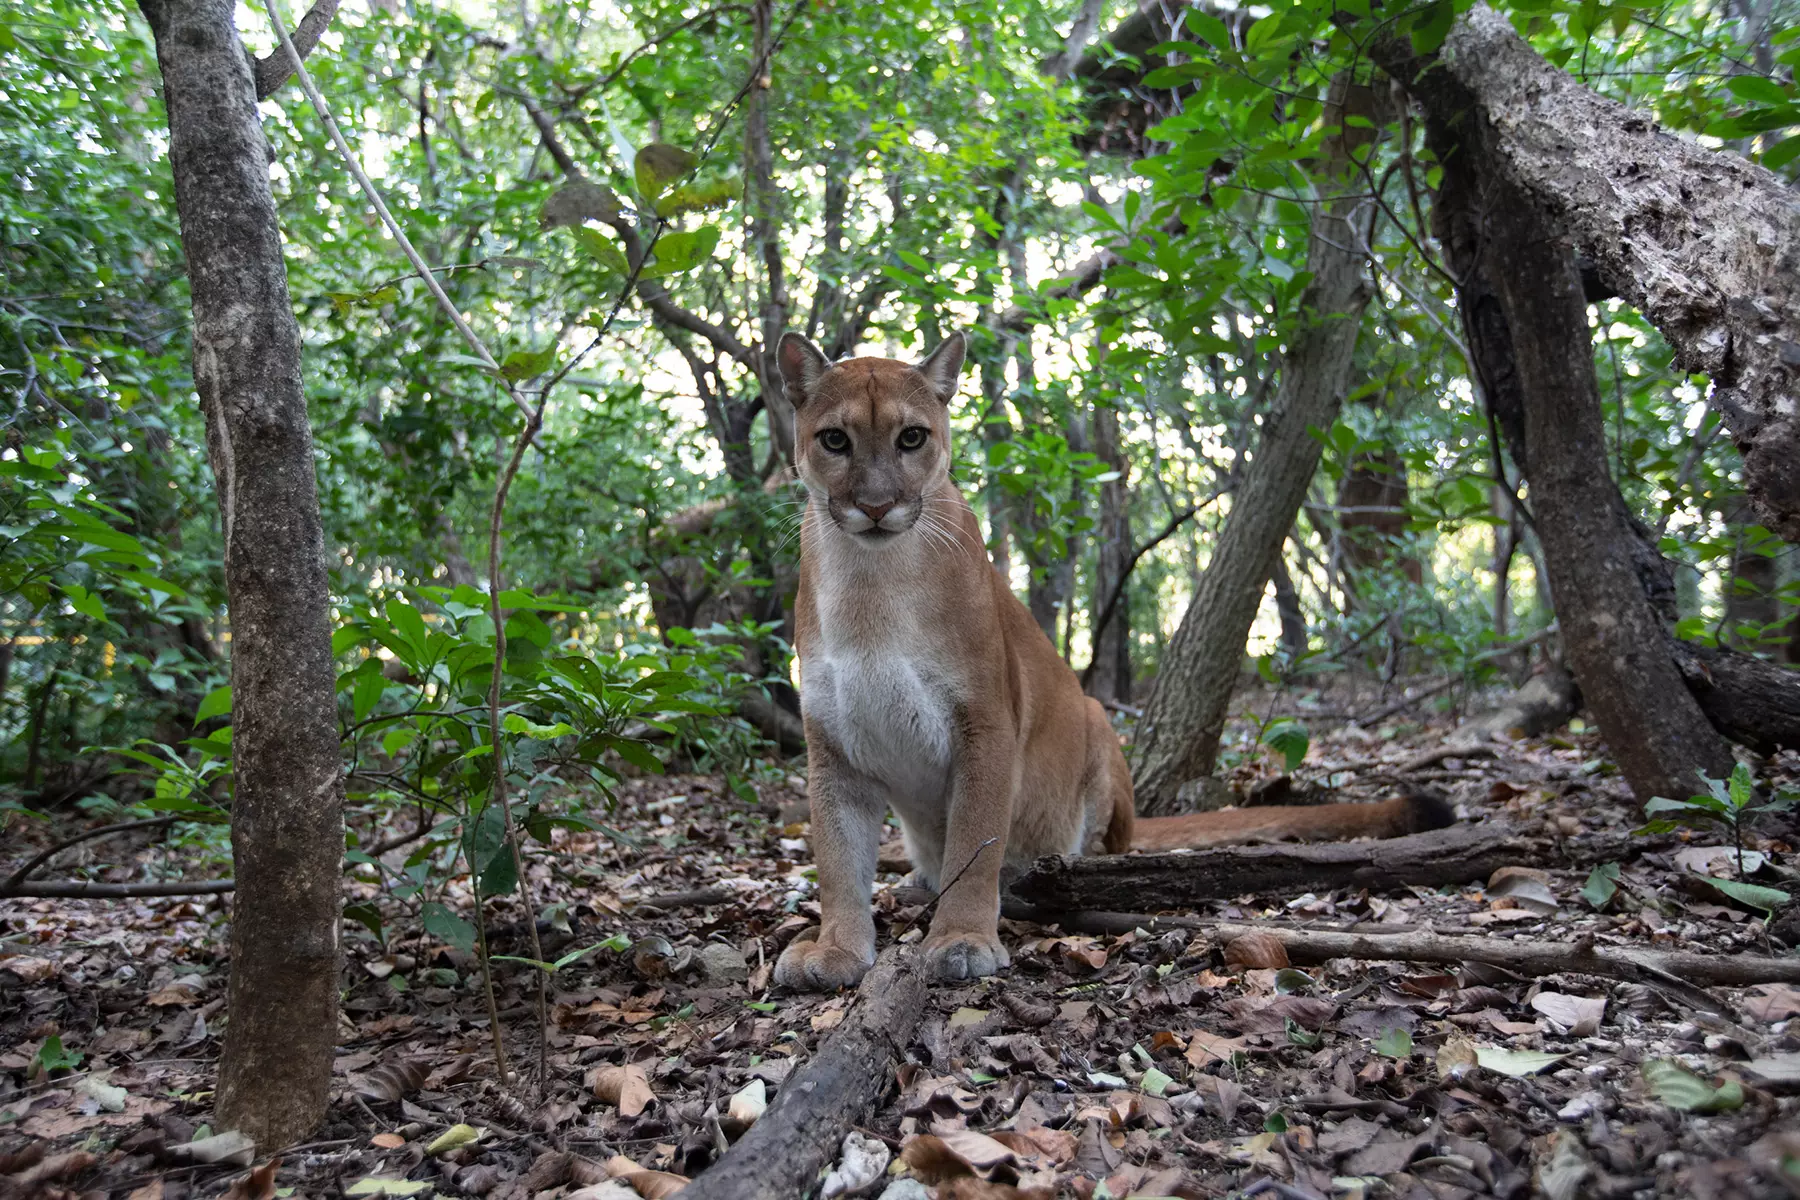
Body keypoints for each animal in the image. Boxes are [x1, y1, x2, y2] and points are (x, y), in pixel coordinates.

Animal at [770, 332, 1447, 993]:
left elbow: (974, 840)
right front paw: (836, 948)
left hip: (1094, 718)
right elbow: (837, 858)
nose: (876, 505)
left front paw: (961, 938)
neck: (871, 583)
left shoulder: (984, 722)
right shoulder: (832, 742)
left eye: (911, 437)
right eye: (835, 439)